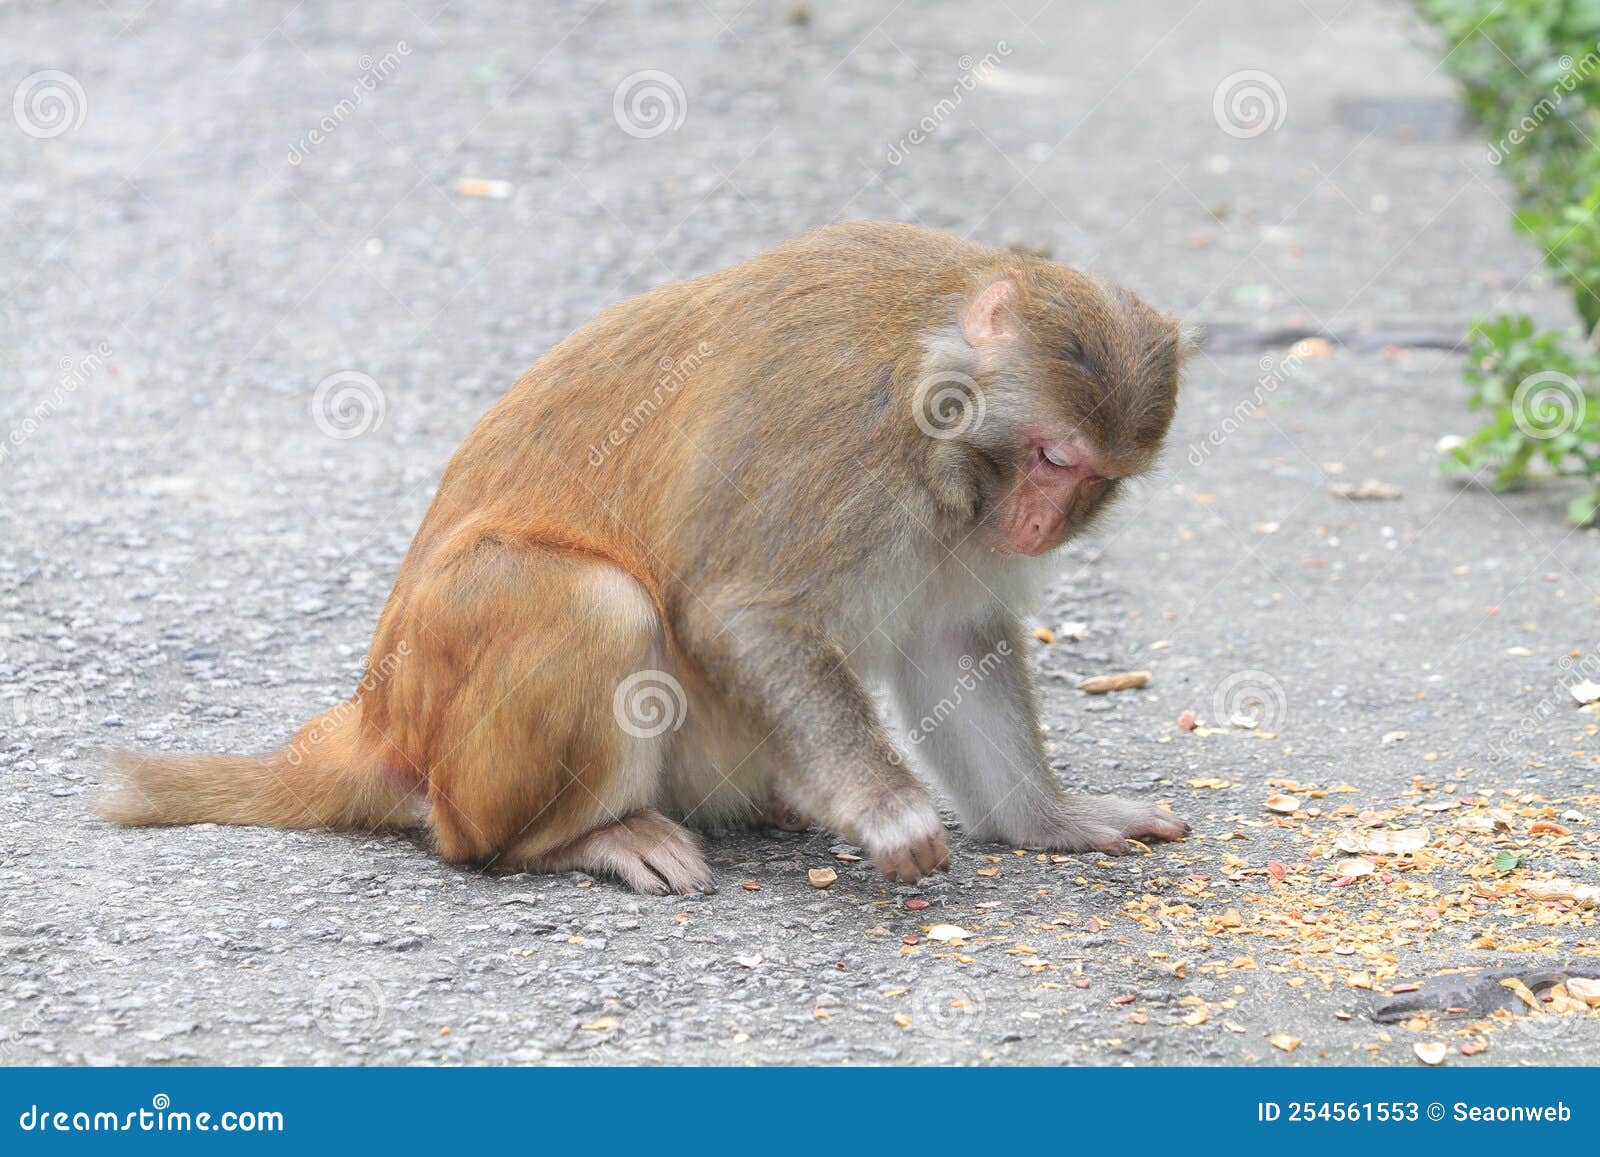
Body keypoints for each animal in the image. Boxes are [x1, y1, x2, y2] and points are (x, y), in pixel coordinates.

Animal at [103, 221, 1191, 895]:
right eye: (1052, 456)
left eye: (1096, 476)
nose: (1040, 525)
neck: (930, 376)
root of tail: (380, 719)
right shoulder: (837, 439)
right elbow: (738, 612)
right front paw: (886, 808)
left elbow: (954, 640)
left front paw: (1048, 820)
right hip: (463, 746)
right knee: (592, 604)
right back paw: (582, 838)